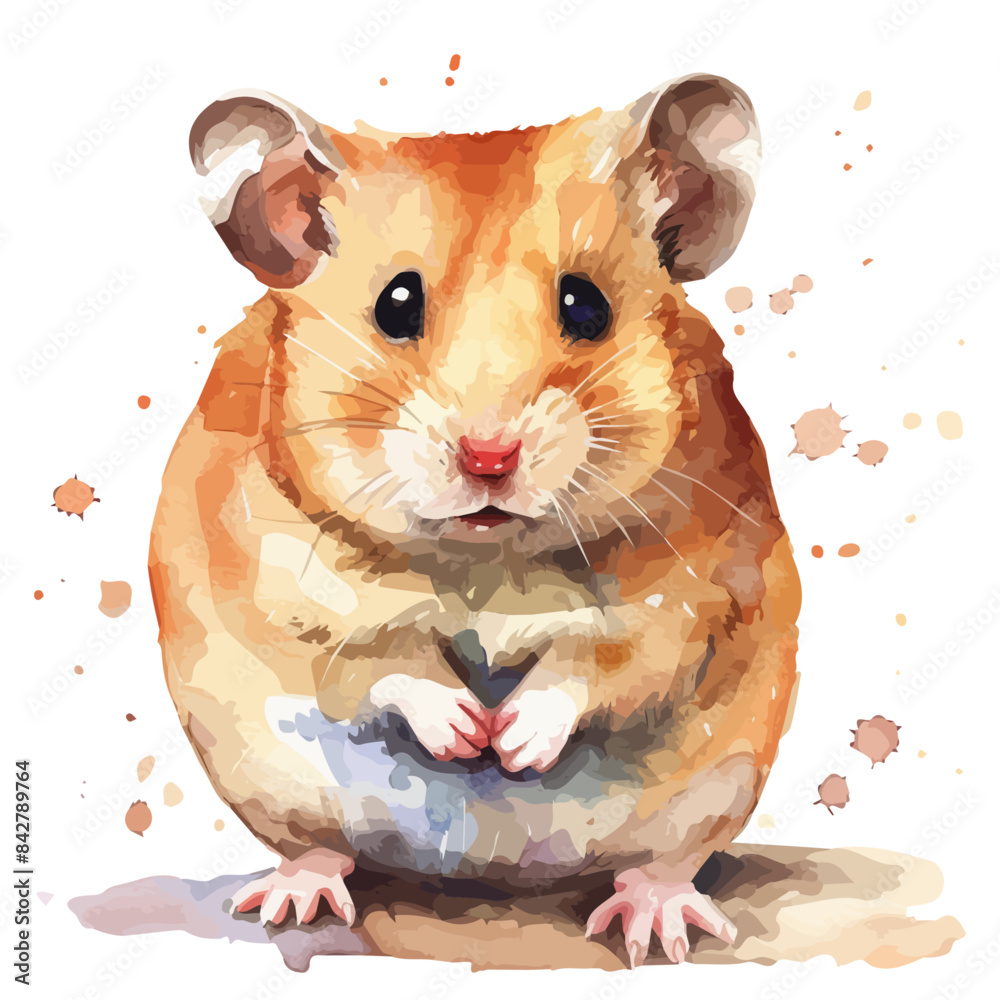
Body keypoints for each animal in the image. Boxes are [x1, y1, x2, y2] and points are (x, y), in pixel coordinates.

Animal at [149, 73, 801, 967]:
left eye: (587, 306)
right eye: (395, 305)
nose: (489, 458)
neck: (486, 561)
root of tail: (498, 882)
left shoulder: (692, 597)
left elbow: (602, 662)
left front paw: (512, 742)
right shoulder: (279, 585)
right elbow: (379, 659)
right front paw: (468, 736)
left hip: (715, 790)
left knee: (664, 864)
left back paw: (656, 924)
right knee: (317, 850)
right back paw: (289, 901)